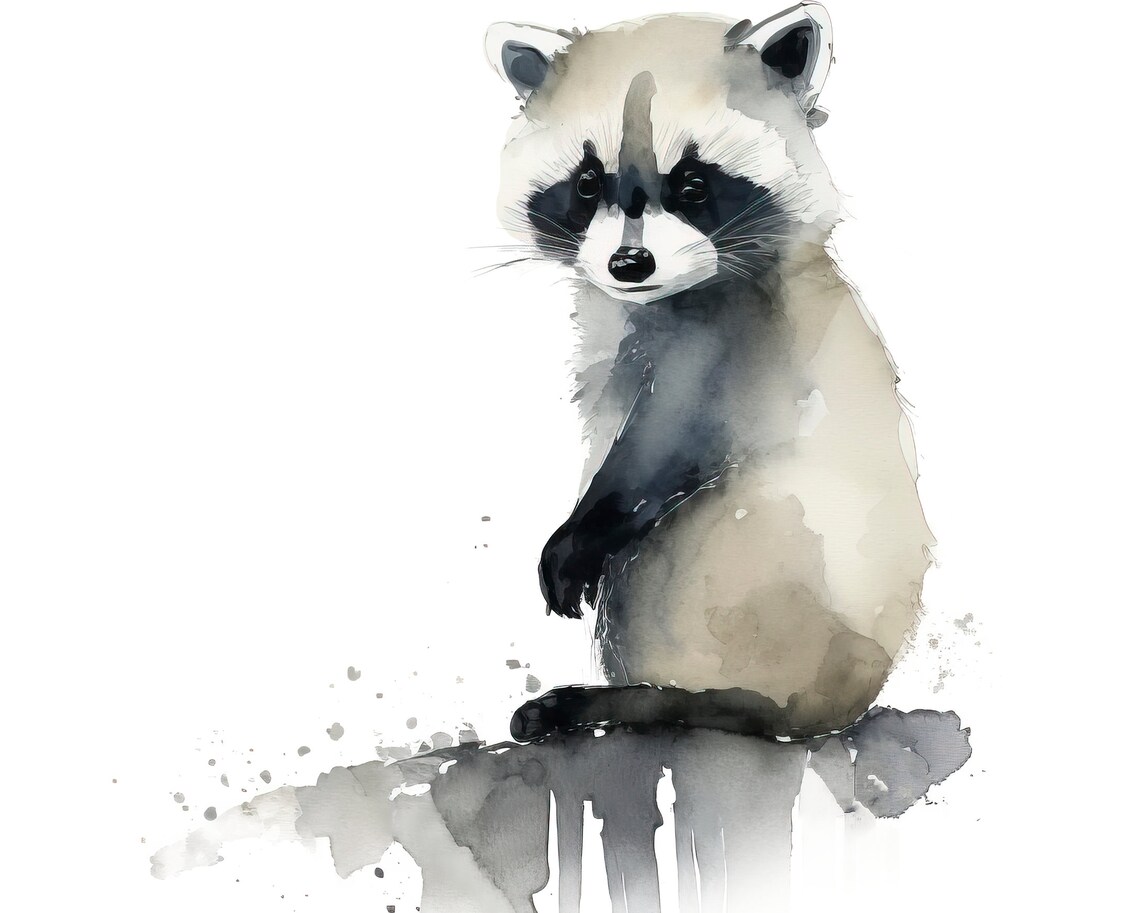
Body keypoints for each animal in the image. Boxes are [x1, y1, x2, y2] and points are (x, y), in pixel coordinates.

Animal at [486, 3, 933, 737]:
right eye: (587, 183)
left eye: (695, 184)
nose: (628, 265)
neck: (658, 300)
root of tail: (847, 695)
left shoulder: (735, 335)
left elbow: (670, 435)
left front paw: (583, 531)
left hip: (761, 560)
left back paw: (675, 700)